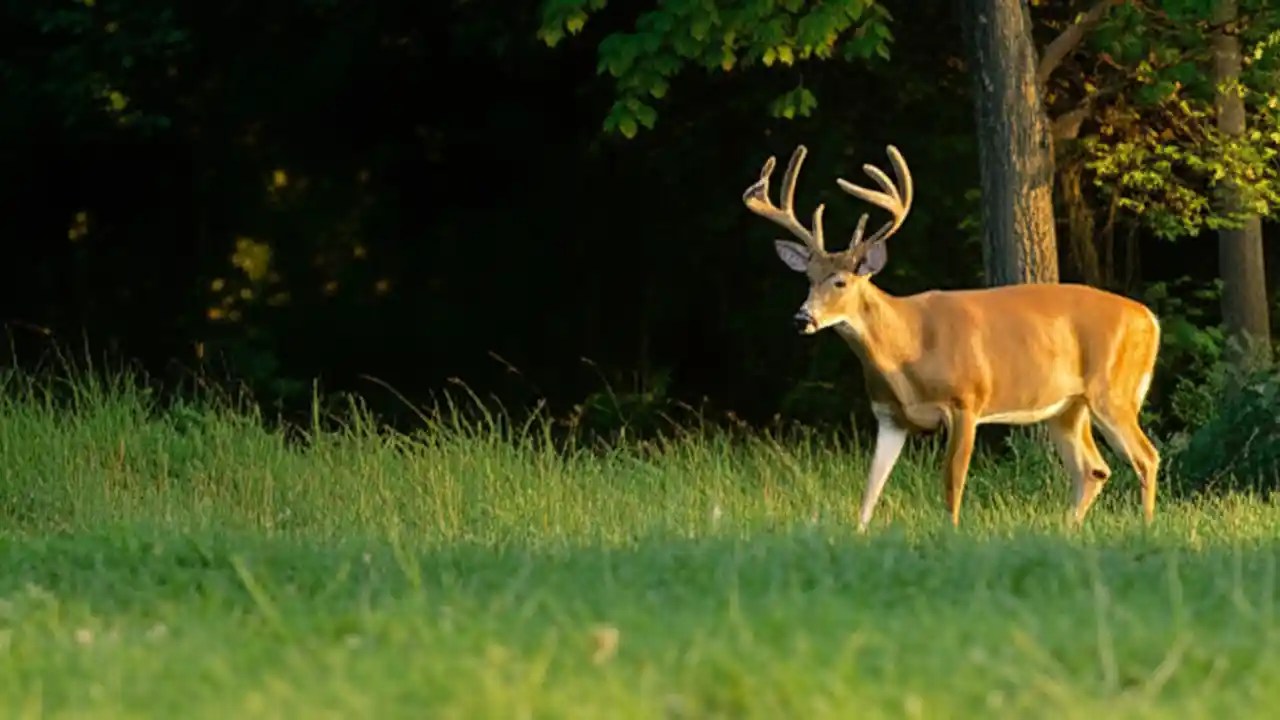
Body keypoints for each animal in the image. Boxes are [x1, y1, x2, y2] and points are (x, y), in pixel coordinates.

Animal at [742, 143, 1162, 531]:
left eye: (840, 281)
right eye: (809, 279)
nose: (802, 318)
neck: (905, 349)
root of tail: (1149, 318)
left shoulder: (966, 401)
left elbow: (952, 482)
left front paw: (952, 533)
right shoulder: (889, 416)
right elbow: (870, 491)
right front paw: (856, 536)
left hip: (1113, 390)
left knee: (1146, 457)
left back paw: (1145, 528)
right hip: (1066, 407)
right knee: (1093, 469)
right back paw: (1067, 530)